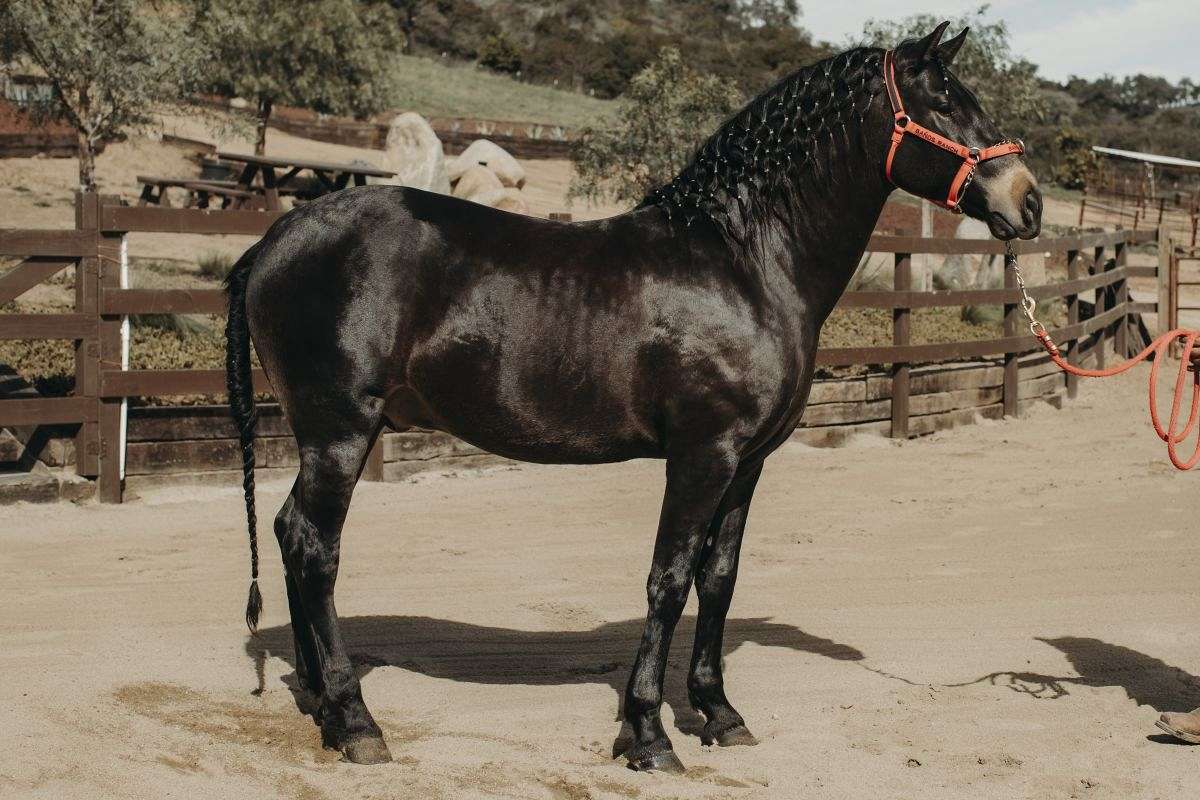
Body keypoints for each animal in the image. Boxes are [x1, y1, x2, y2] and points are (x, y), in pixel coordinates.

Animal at [224, 21, 1041, 771]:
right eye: (942, 102)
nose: (1027, 202)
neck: (743, 263)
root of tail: (275, 239)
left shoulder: (748, 462)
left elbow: (718, 578)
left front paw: (719, 713)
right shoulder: (703, 454)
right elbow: (669, 580)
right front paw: (648, 733)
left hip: (329, 435)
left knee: (291, 533)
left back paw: (320, 701)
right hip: (340, 430)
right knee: (316, 548)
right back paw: (356, 721)